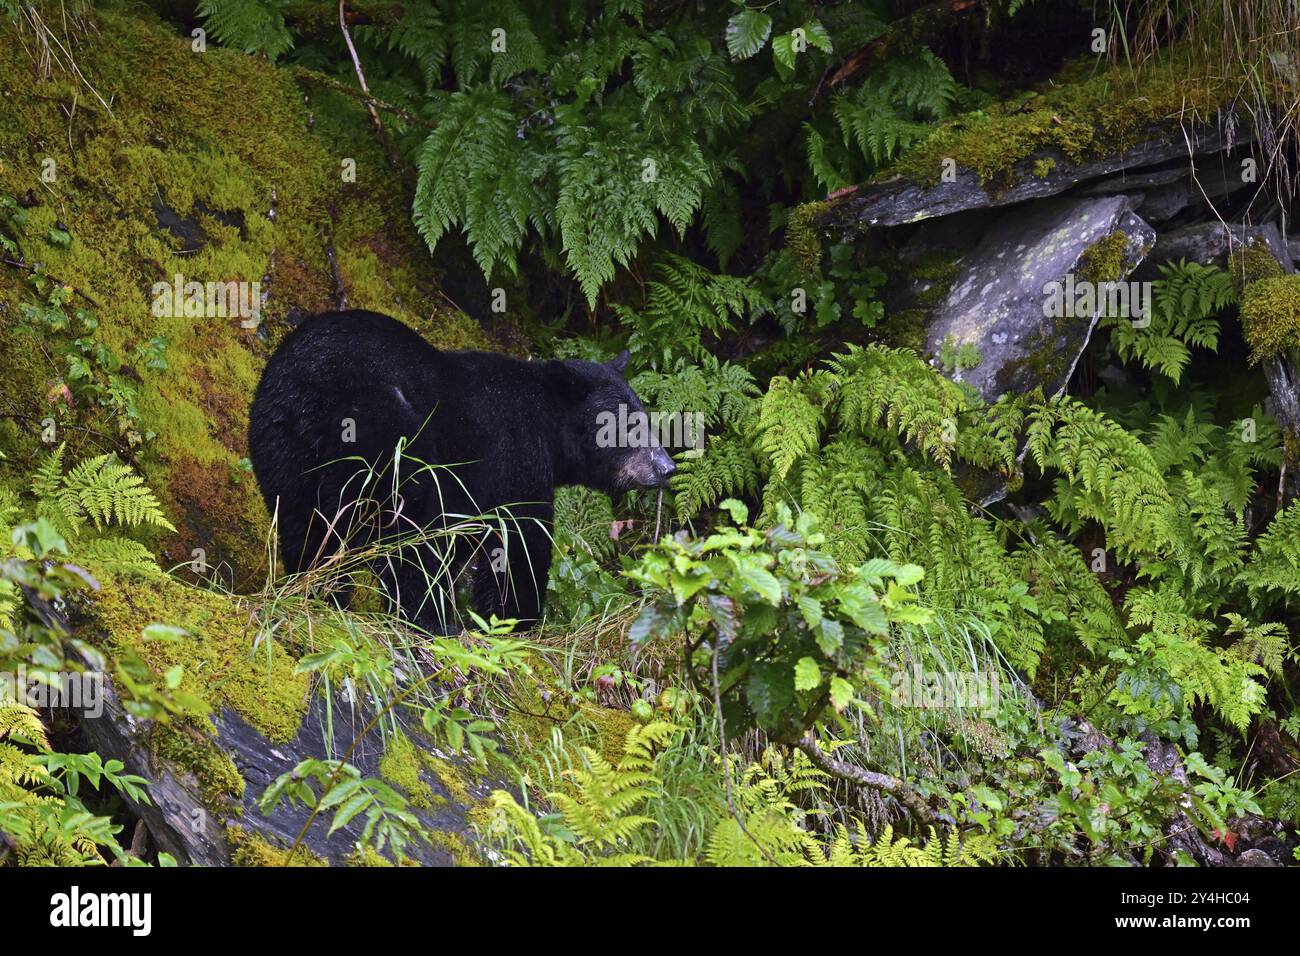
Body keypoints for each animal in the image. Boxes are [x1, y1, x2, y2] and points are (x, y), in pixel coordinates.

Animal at [247, 309, 674, 634]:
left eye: (644, 417)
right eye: (628, 425)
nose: (667, 466)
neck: (550, 427)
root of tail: (313, 394)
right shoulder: (515, 454)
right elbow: (519, 538)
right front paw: (516, 621)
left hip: (280, 447)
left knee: (304, 527)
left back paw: (320, 594)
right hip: (389, 438)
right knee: (406, 538)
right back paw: (430, 620)